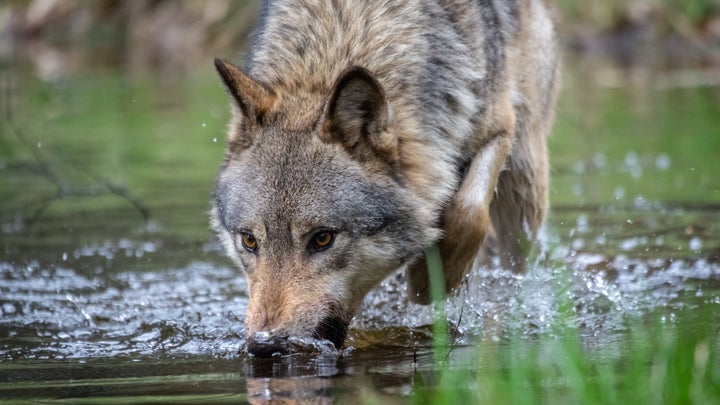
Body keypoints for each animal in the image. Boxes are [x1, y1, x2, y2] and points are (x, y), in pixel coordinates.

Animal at [211, 0, 559, 357]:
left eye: (322, 238)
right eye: (249, 241)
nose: (265, 345)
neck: (344, 34)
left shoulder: (499, 127)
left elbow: (469, 211)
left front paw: (429, 281)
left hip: (524, 181)